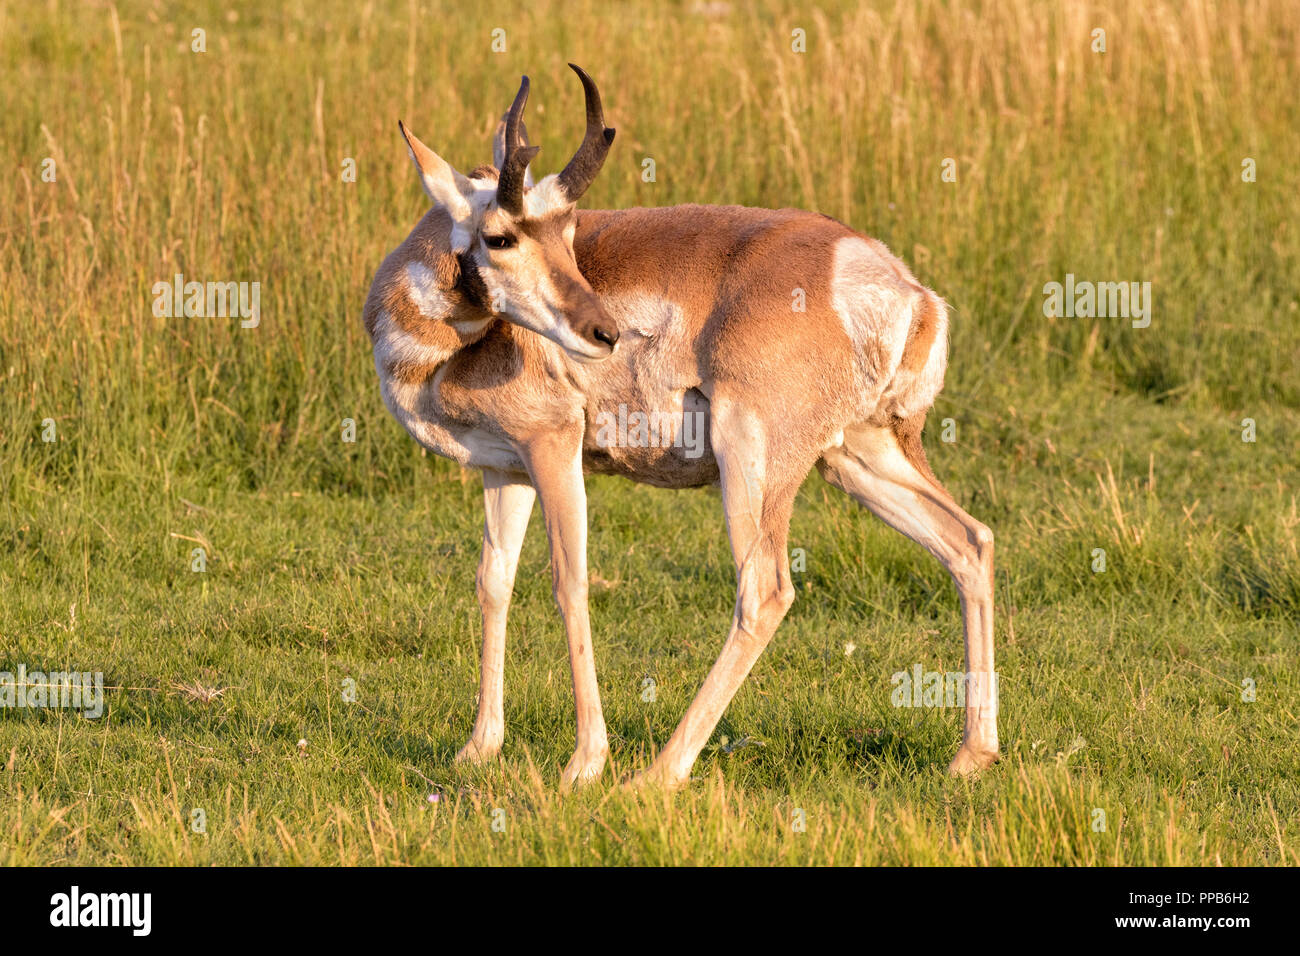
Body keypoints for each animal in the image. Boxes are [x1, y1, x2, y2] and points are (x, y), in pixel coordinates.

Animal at [363, 65, 998, 790]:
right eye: (501, 236)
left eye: (567, 232)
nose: (604, 332)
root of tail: (900, 287)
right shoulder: (507, 468)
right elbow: (493, 582)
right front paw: (478, 748)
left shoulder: (554, 448)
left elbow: (569, 582)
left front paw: (584, 762)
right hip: (858, 458)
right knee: (969, 541)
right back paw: (972, 755)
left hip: (752, 461)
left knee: (765, 591)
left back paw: (658, 772)